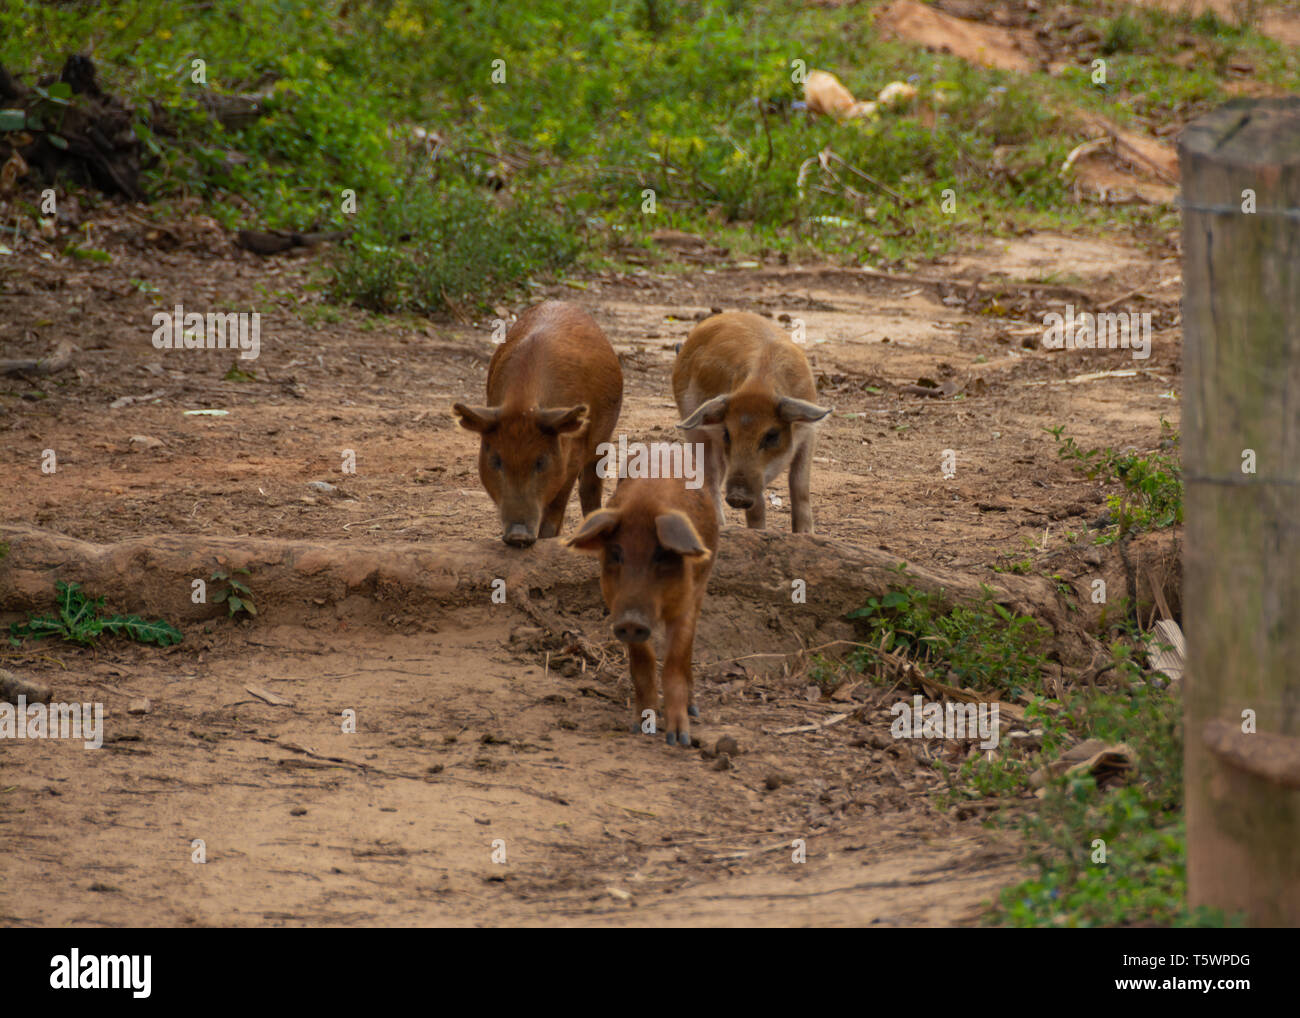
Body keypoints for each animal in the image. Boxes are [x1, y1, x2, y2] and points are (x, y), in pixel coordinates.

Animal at [452, 302, 623, 546]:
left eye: (541, 462)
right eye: (496, 461)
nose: (518, 535)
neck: (523, 405)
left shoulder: (573, 452)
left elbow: (558, 501)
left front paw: (546, 539)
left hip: (604, 436)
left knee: (590, 485)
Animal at [567, 476, 718, 747]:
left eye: (661, 555)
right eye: (616, 554)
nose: (632, 620)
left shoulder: (685, 603)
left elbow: (674, 663)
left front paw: (678, 739)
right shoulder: (617, 609)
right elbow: (642, 662)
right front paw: (641, 727)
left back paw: (693, 709)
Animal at [673, 311, 830, 533]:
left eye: (771, 435)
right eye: (727, 433)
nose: (737, 496)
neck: (759, 387)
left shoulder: (809, 432)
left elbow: (799, 484)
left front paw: (805, 534)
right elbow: (758, 503)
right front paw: (758, 532)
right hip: (693, 428)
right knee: (710, 477)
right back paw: (721, 525)